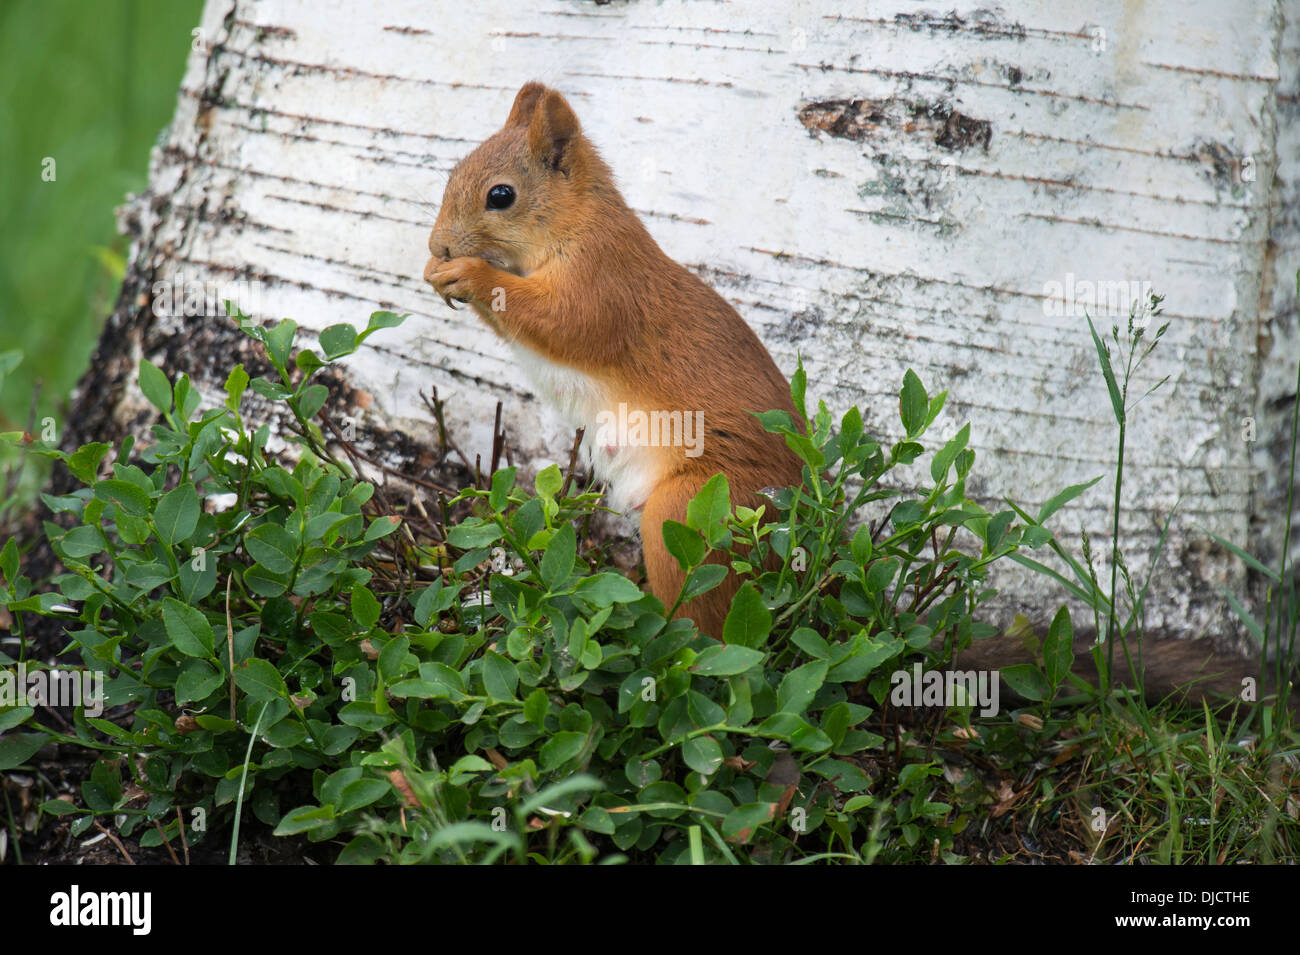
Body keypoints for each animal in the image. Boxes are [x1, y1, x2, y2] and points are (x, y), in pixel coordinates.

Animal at [424, 82, 1287, 709]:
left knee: (720, 633)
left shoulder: (604, 287)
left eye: (500, 195)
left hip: (692, 513)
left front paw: (467, 275)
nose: (434, 244)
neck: (572, 225)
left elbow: (554, 320)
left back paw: (661, 652)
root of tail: (806, 546)